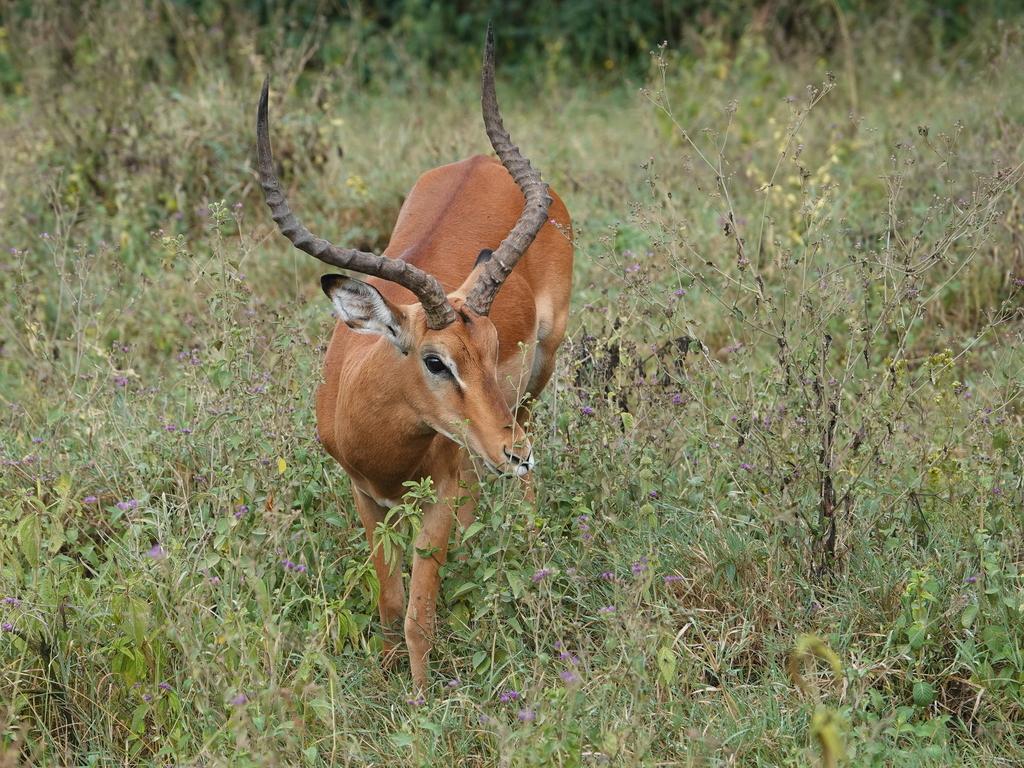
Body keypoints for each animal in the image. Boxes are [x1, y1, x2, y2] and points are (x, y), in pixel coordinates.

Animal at [256, 26, 573, 690]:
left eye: (492, 348)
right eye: (435, 361)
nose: (515, 456)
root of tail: (481, 160)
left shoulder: (439, 496)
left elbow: (419, 614)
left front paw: (423, 698)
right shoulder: (366, 497)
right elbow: (389, 599)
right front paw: (382, 676)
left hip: (539, 374)